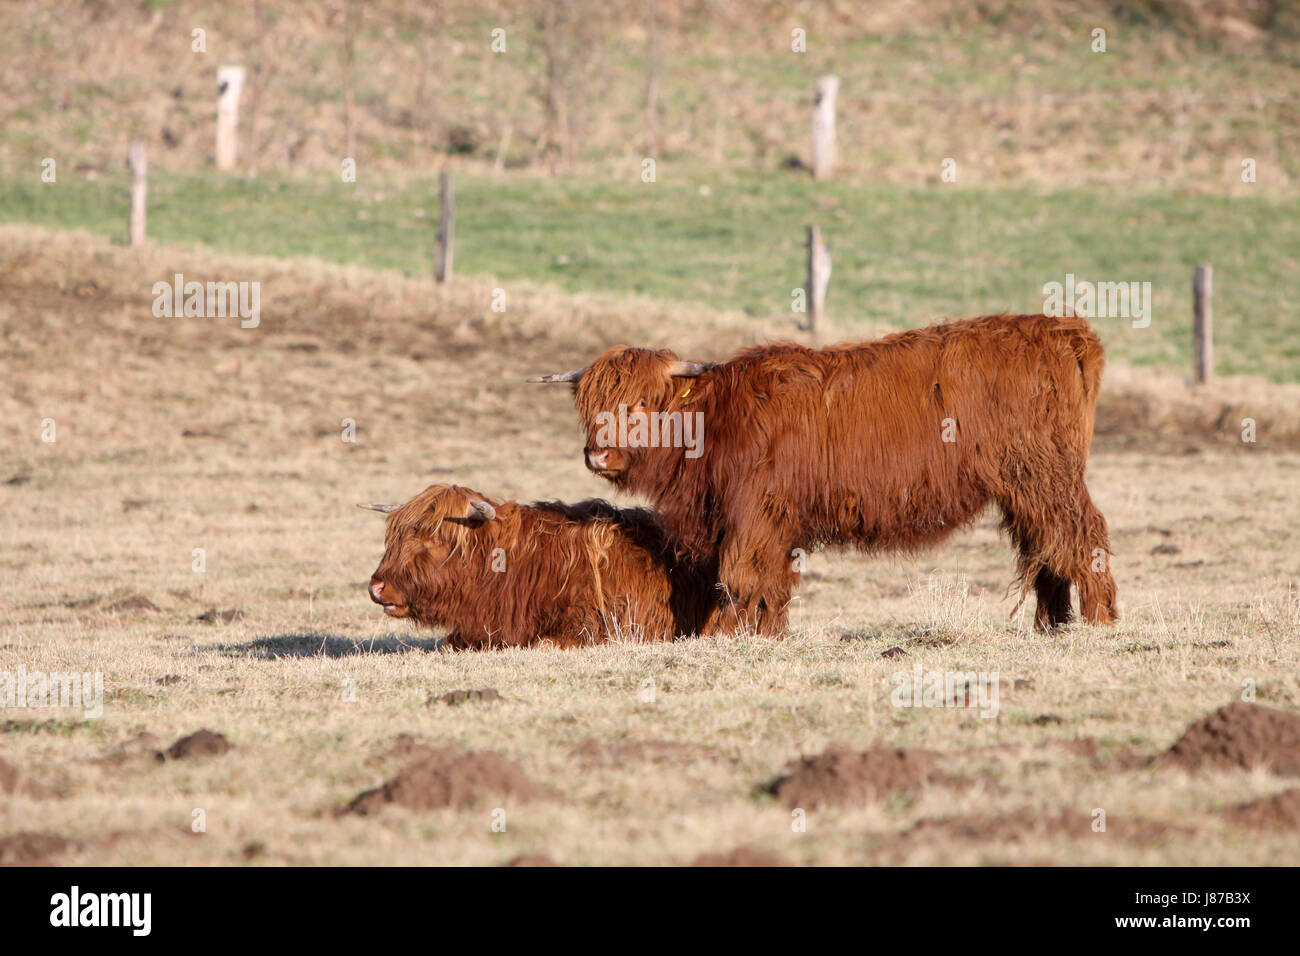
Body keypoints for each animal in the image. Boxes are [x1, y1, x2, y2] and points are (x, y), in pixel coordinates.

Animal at [529, 313, 1119, 634]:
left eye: (644, 403)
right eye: (588, 407)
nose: (598, 457)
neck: (715, 421)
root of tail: (1060, 328)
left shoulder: (756, 517)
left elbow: (739, 580)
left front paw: (720, 636)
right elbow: (771, 585)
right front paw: (767, 635)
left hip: (1044, 476)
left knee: (1081, 534)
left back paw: (1100, 619)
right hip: (1025, 487)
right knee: (1046, 546)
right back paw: (1053, 625)